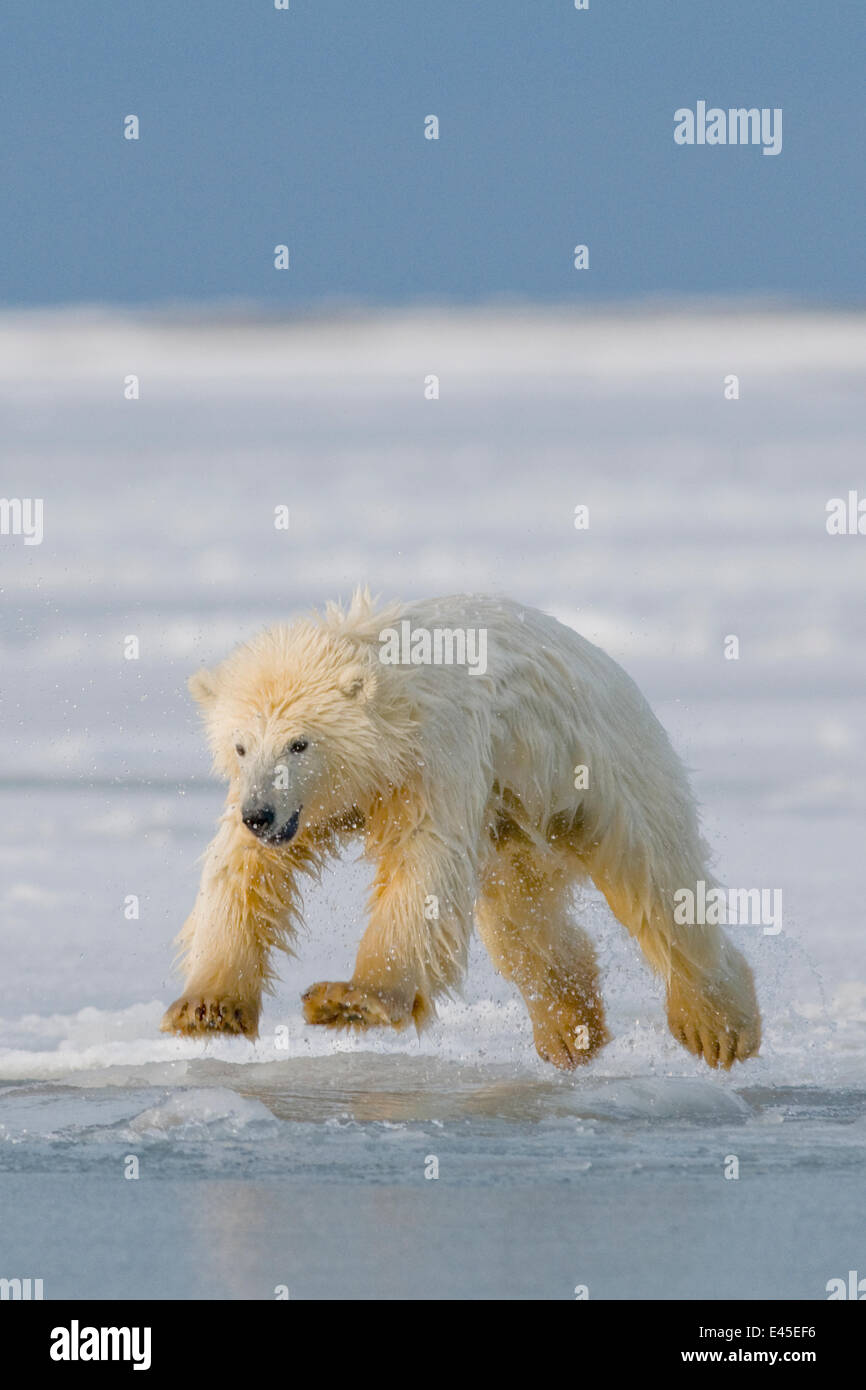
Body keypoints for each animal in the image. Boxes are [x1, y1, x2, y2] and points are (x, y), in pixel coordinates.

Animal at [161, 590, 761, 1071]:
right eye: (240, 745)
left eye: (299, 743)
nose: (259, 815)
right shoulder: (297, 805)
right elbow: (244, 872)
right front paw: (207, 1007)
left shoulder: (433, 758)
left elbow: (421, 866)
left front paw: (351, 999)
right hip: (515, 822)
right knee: (519, 917)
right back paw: (571, 1031)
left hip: (596, 768)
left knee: (656, 880)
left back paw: (718, 1028)